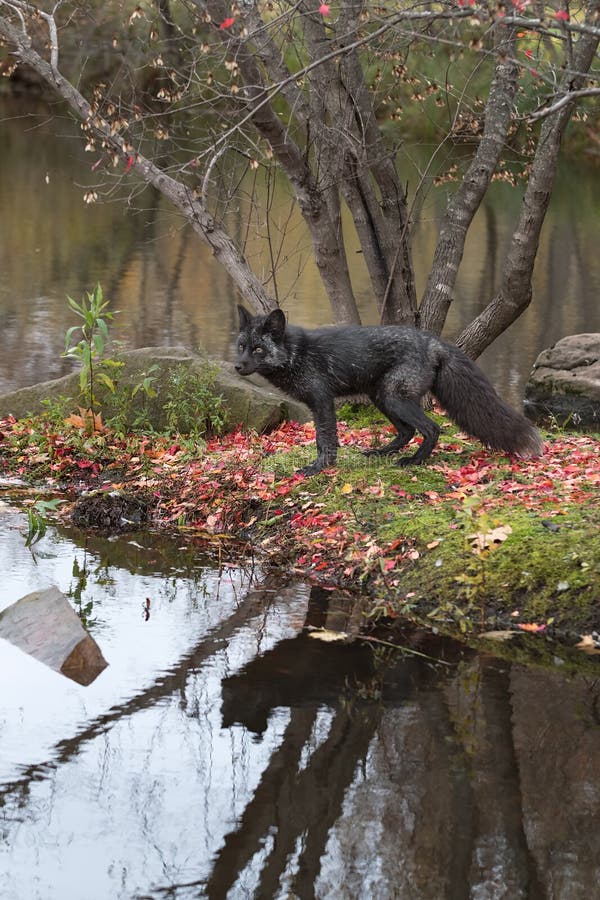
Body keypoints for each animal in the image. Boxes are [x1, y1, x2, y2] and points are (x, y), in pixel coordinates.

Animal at [235, 305, 543, 476]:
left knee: (431, 428)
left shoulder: (322, 402)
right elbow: (325, 439)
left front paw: (319, 468)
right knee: (407, 431)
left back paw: (415, 461)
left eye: (258, 349)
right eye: (241, 346)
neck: (295, 354)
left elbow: (325, 439)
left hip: (394, 398)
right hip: (382, 398)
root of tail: (433, 341)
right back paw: (382, 453)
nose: (237, 366)